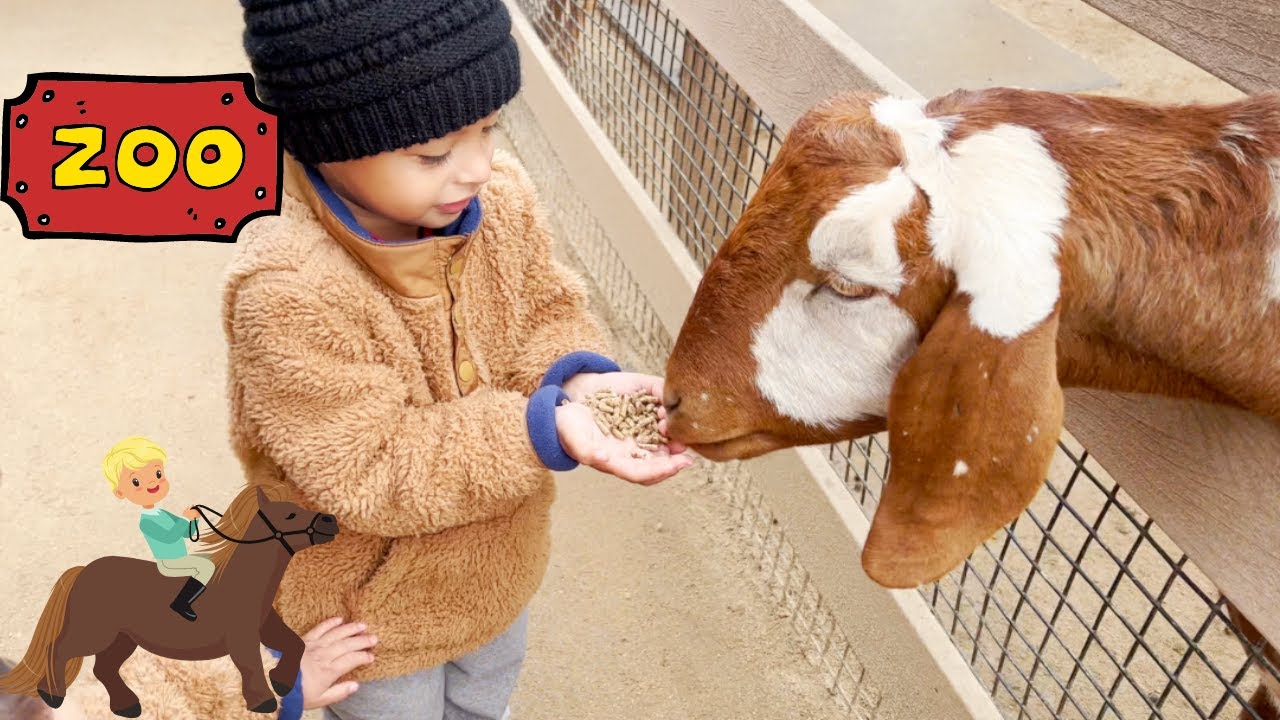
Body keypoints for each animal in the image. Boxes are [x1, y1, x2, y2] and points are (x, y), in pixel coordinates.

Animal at [0, 483, 338, 716]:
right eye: (290, 515)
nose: (330, 521)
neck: (242, 583)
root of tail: (84, 570)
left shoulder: (266, 627)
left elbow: (296, 645)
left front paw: (282, 682)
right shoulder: (241, 638)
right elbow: (252, 666)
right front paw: (265, 700)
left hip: (121, 639)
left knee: (104, 670)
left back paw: (126, 706)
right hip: (95, 632)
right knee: (58, 650)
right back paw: (52, 695)